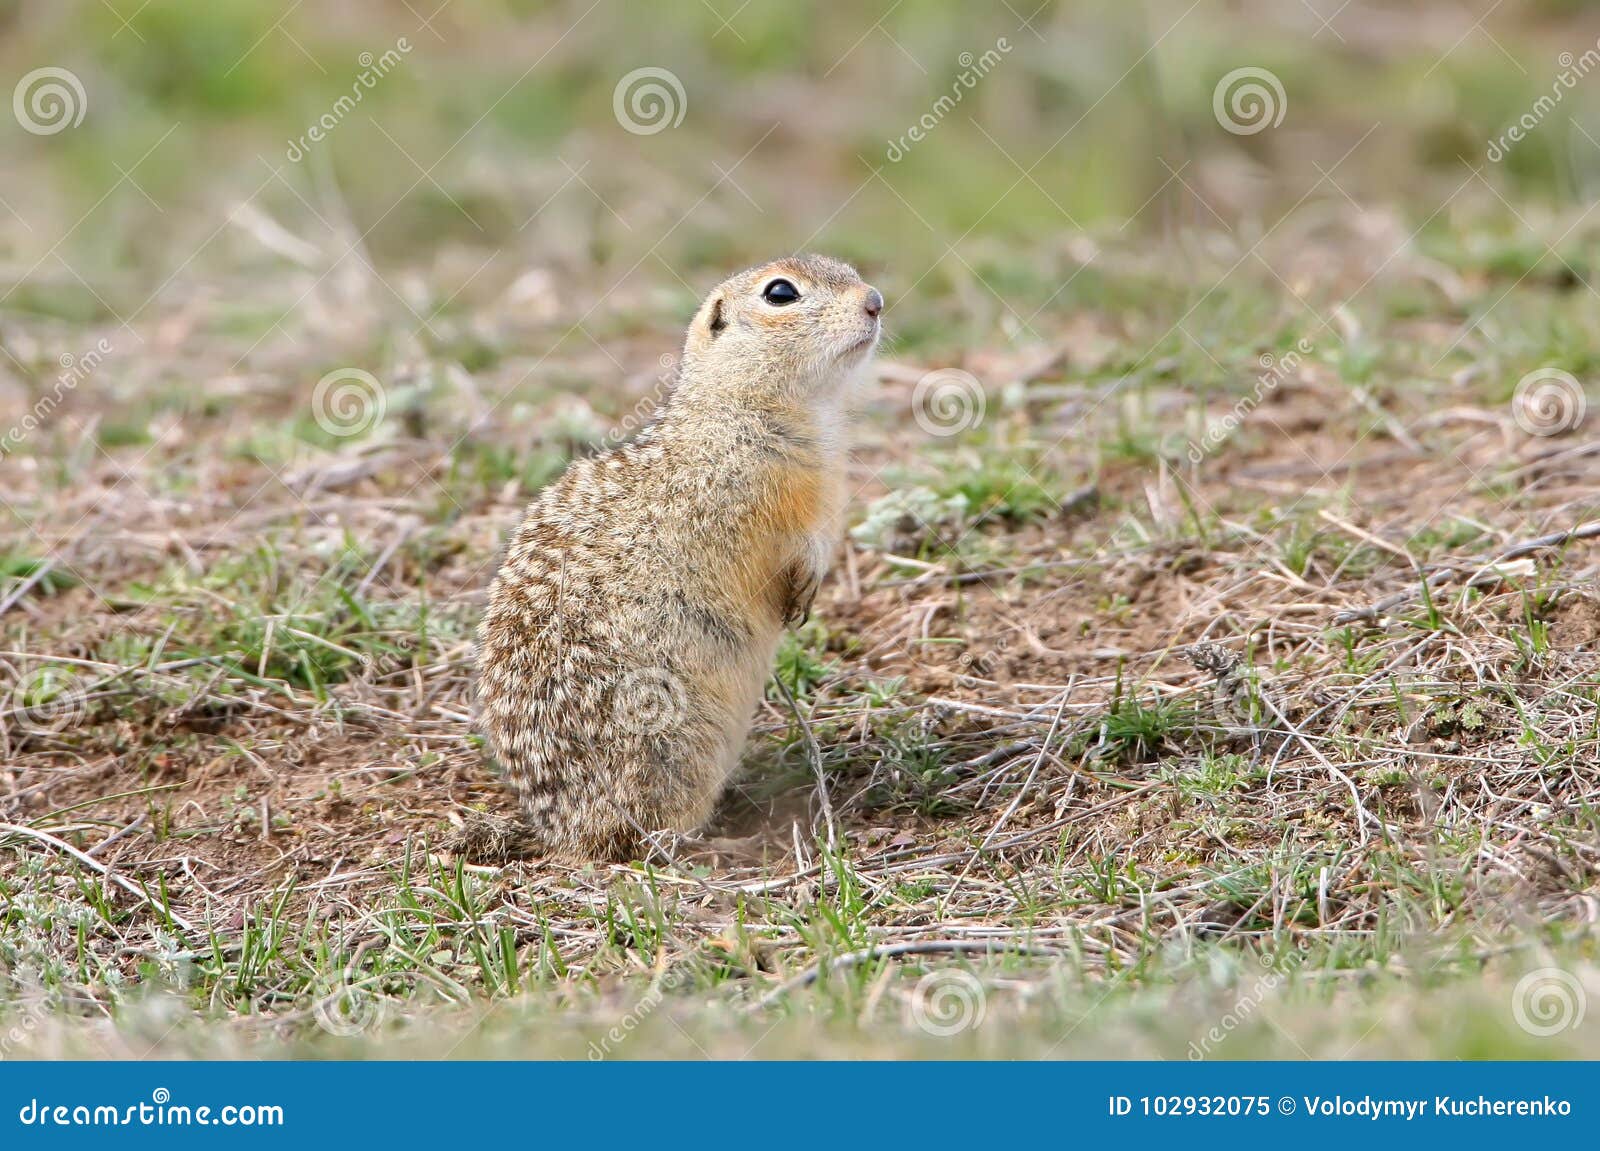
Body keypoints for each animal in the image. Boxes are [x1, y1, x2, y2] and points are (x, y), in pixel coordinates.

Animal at [468, 255, 883, 861]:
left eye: (849, 269)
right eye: (781, 293)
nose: (875, 300)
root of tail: (564, 835)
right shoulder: (755, 501)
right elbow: (791, 544)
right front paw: (803, 585)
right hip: (670, 744)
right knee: (651, 834)